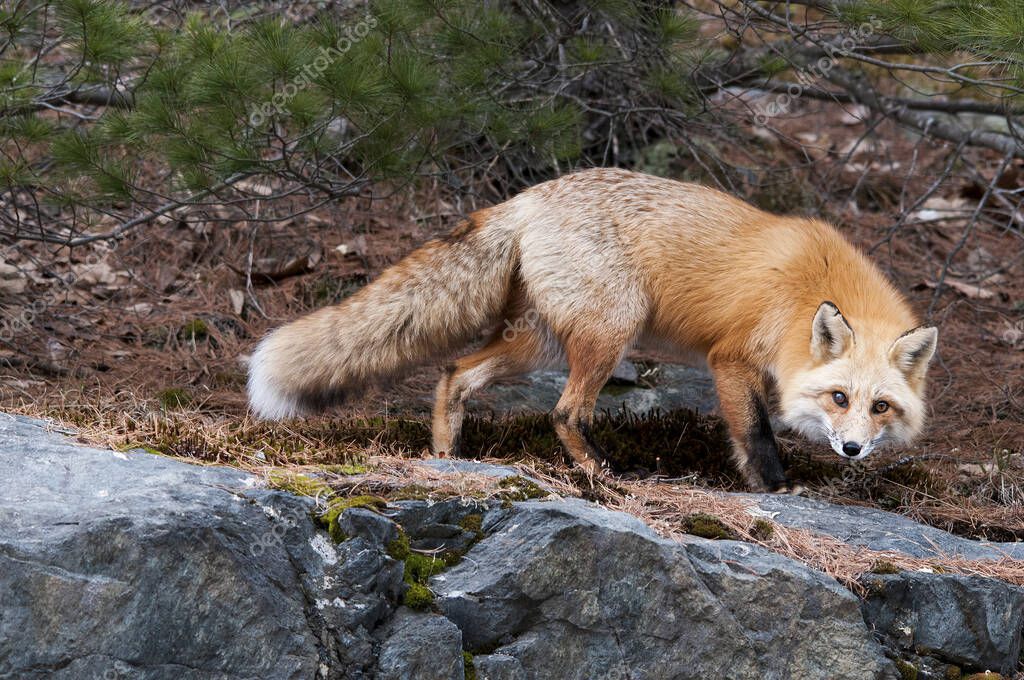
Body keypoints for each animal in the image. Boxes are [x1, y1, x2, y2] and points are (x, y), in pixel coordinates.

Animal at [248, 168, 937, 492]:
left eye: (880, 407)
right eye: (838, 397)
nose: (853, 450)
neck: (806, 291)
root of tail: (527, 197)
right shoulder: (731, 360)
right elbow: (756, 436)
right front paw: (777, 489)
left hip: (537, 342)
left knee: (454, 373)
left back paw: (446, 458)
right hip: (612, 330)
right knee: (564, 412)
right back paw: (605, 477)